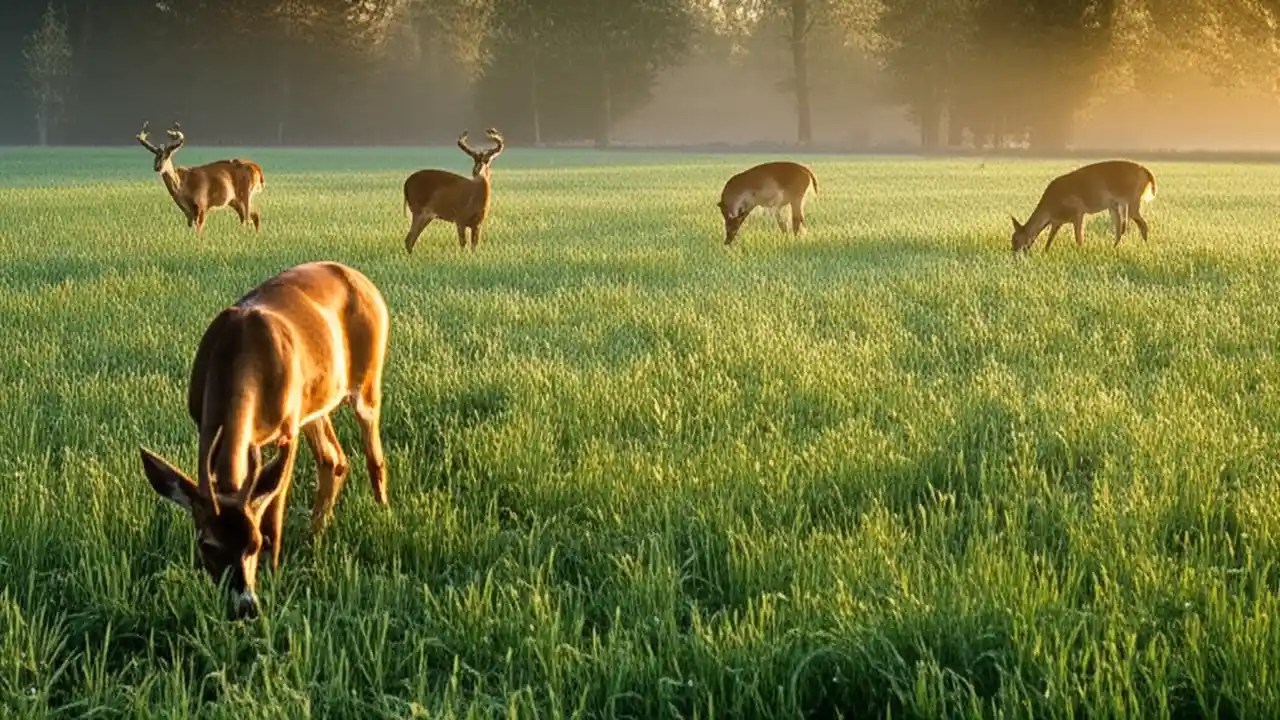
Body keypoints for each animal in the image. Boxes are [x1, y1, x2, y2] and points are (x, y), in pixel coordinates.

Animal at [136, 121, 265, 233]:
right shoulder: (188, 212)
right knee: (253, 216)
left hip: (246, 193)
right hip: (234, 200)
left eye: (167, 156)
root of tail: (257, 168)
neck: (183, 187)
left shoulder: (202, 204)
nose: (157, 167)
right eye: (155, 157)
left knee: (248, 219)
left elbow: (199, 229)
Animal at [139, 261, 390, 620]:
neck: (240, 355)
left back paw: (383, 512)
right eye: (207, 545)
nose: (246, 607)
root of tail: (365, 281)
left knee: (373, 456)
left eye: (255, 543)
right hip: (314, 402)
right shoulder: (206, 423)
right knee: (334, 460)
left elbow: (274, 506)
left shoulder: (288, 429)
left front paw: (274, 569)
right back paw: (315, 535)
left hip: (366, 382)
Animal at [1010, 160, 1157, 254]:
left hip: (1133, 199)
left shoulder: (1078, 211)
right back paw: (1114, 249)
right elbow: (1049, 240)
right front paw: (1044, 253)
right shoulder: (1057, 221)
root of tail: (1147, 173)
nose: (1014, 254)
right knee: (1120, 229)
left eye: (1015, 240)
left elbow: (1078, 238)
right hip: (1115, 206)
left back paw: (1146, 247)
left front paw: (1081, 253)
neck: (1050, 208)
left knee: (1142, 224)